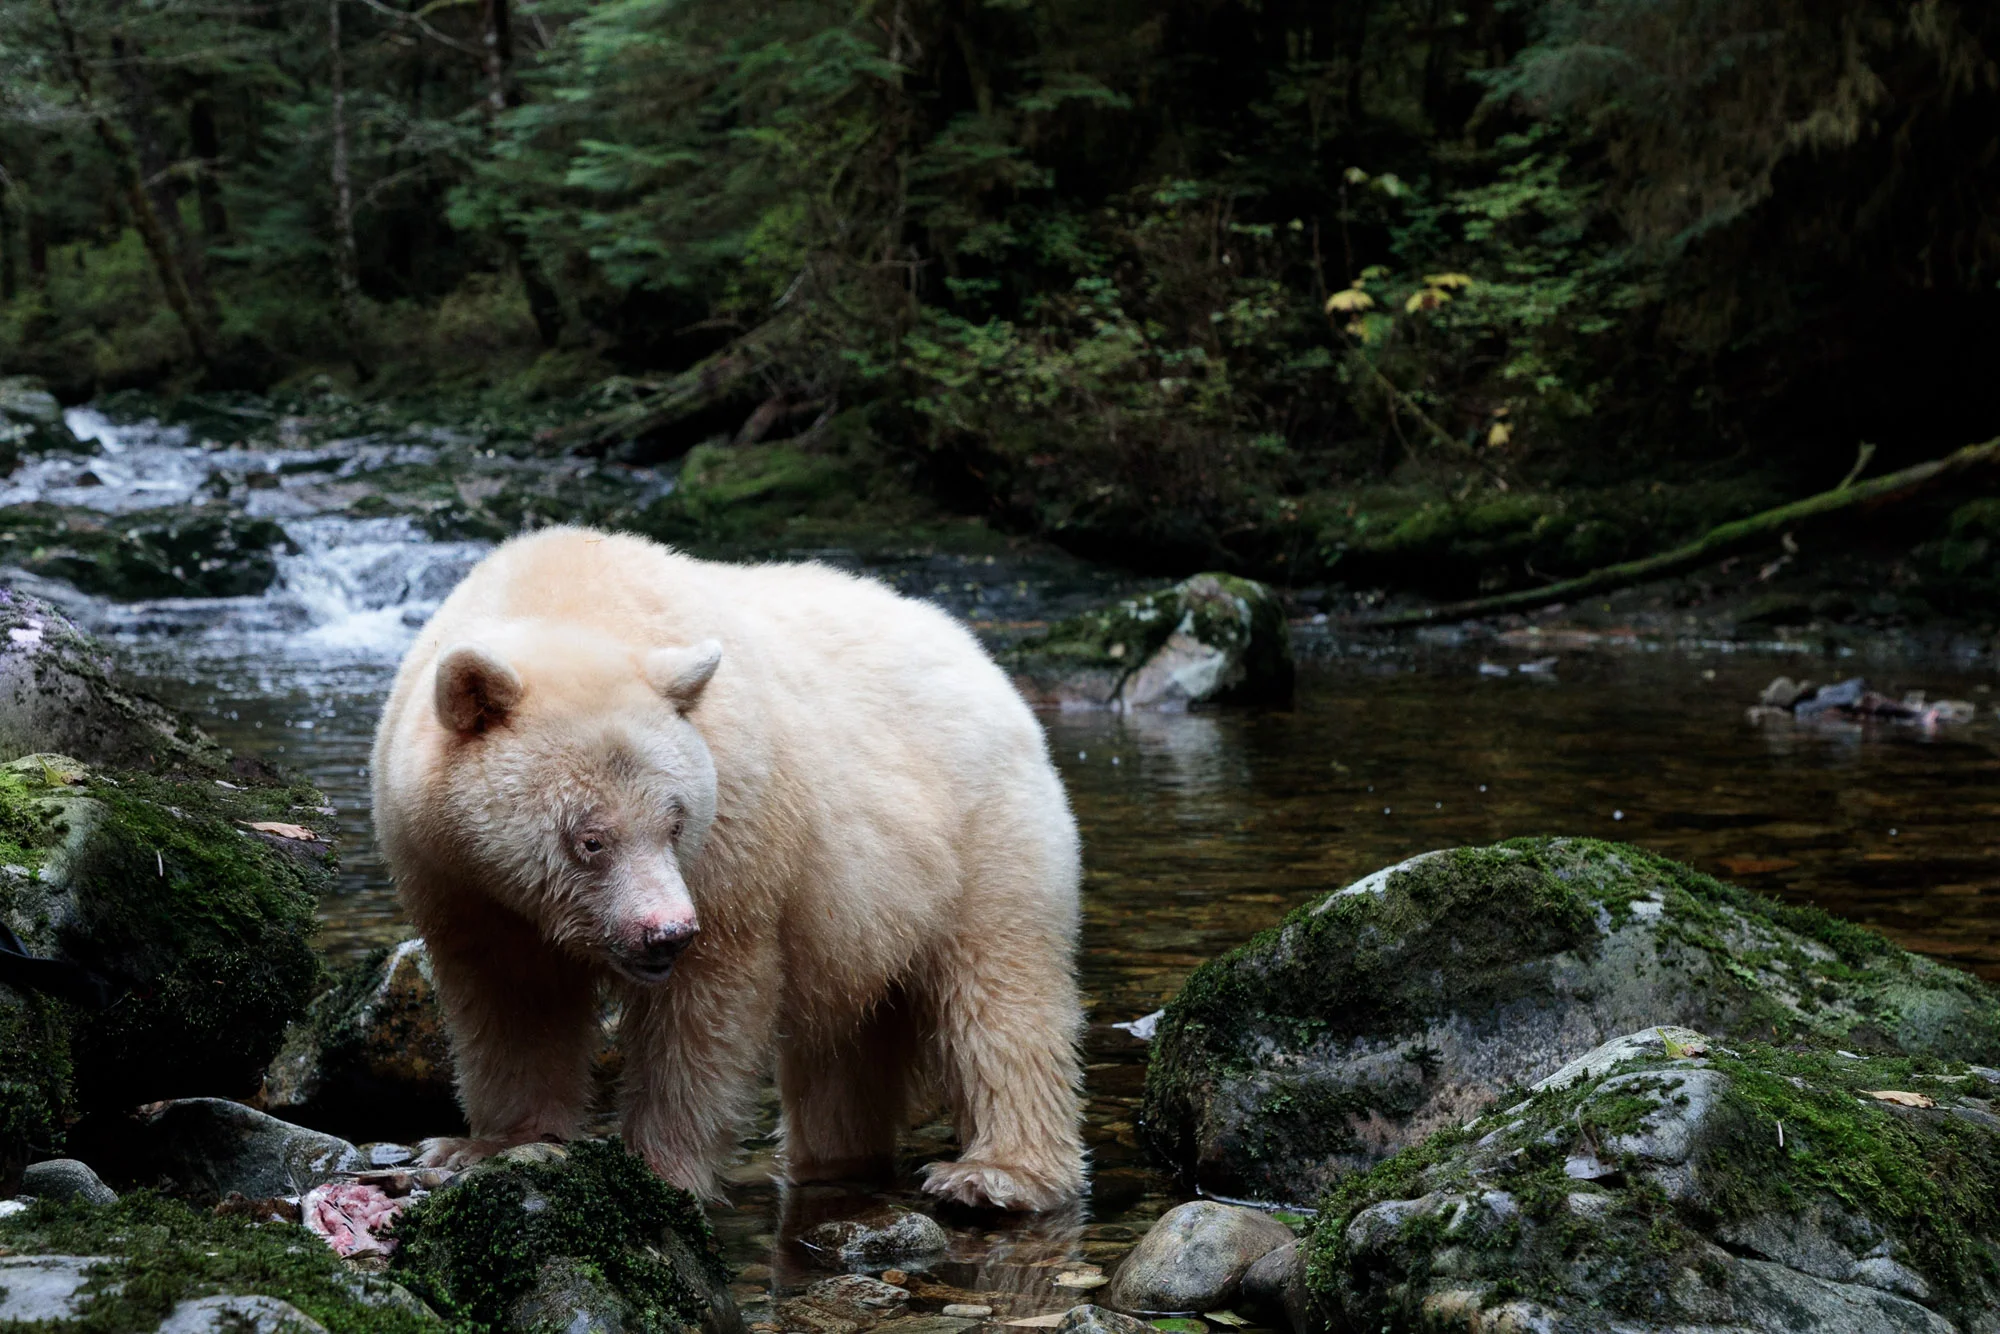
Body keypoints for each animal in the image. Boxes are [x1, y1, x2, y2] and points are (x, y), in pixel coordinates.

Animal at [371, 527, 1086, 1210]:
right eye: (590, 839)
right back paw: (830, 1158)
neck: (567, 598)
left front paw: (661, 1171)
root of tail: (978, 654)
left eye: (675, 822)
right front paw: (485, 1145)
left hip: (982, 831)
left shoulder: (734, 836)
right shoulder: (457, 877)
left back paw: (997, 1175)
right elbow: (513, 1000)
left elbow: (705, 1008)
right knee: (845, 1040)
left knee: (999, 991)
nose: (665, 933)